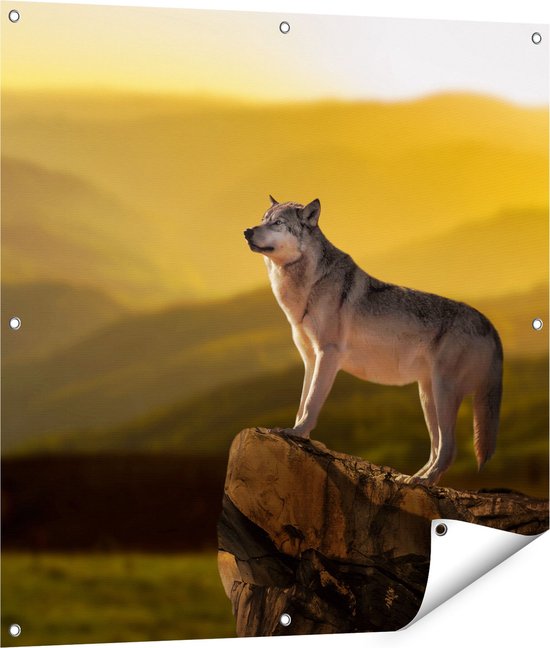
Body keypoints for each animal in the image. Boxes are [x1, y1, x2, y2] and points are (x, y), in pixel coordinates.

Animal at [244, 196, 503, 485]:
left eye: (278, 223)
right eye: (263, 219)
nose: (247, 232)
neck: (308, 285)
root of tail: (489, 324)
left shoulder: (328, 354)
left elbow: (311, 403)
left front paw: (297, 433)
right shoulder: (310, 360)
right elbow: (302, 402)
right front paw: (297, 433)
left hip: (443, 392)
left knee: (449, 447)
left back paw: (422, 481)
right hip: (427, 396)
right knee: (436, 447)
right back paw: (412, 478)